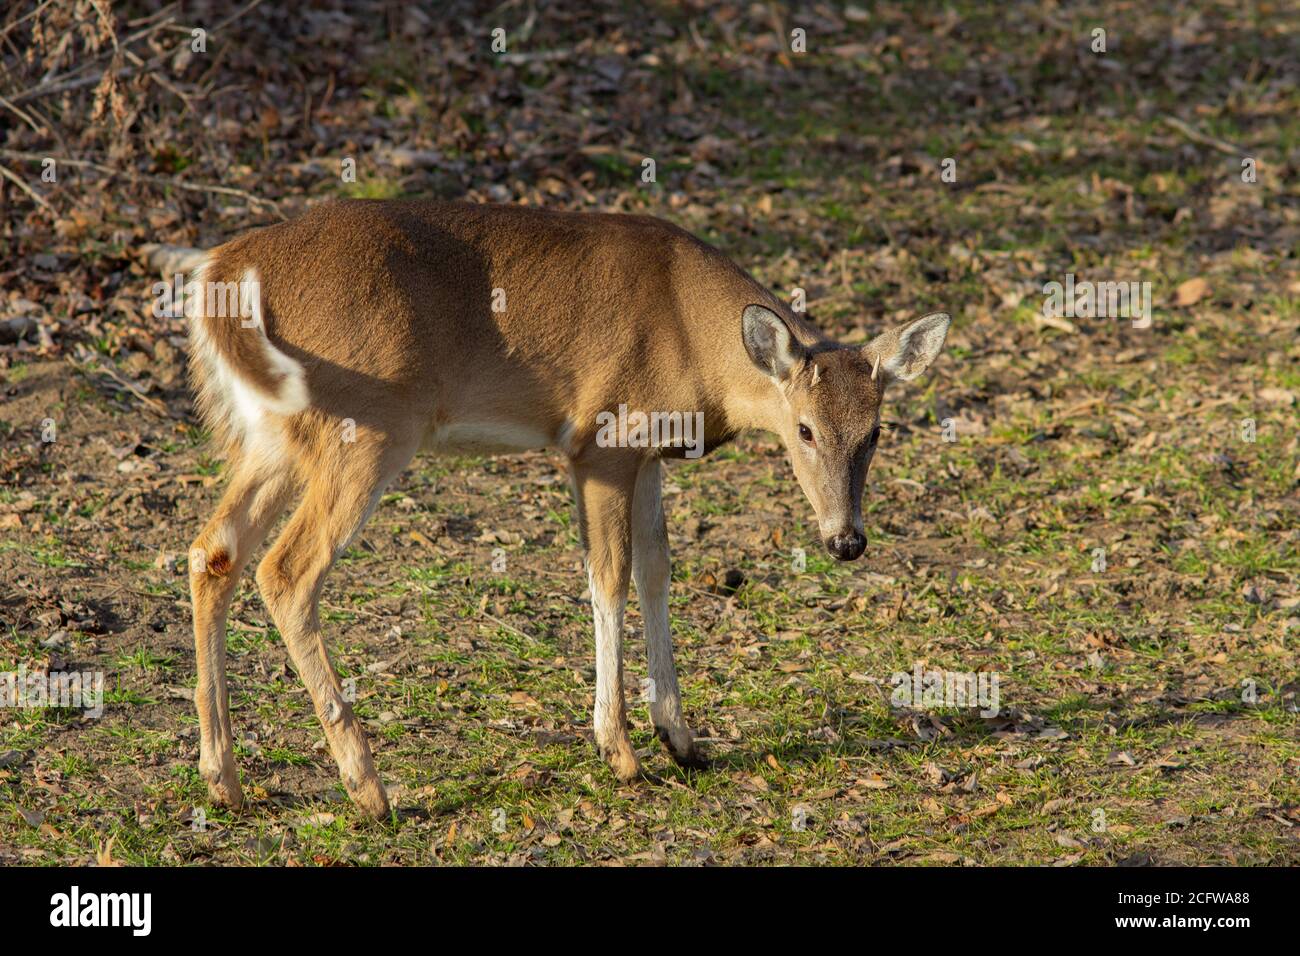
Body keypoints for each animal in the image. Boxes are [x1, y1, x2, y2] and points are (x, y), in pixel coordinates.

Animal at [153, 199, 951, 820]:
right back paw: (369, 789)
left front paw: (682, 740)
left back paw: (225, 781)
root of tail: (221, 274)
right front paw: (619, 750)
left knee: (212, 552)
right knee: (287, 570)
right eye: (805, 430)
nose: (846, 540)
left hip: (271, 437)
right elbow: (608, 576)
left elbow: (658, 572)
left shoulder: (648, 455)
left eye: (876, 431)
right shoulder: (601, 440)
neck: (694, 341)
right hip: (365, 426)